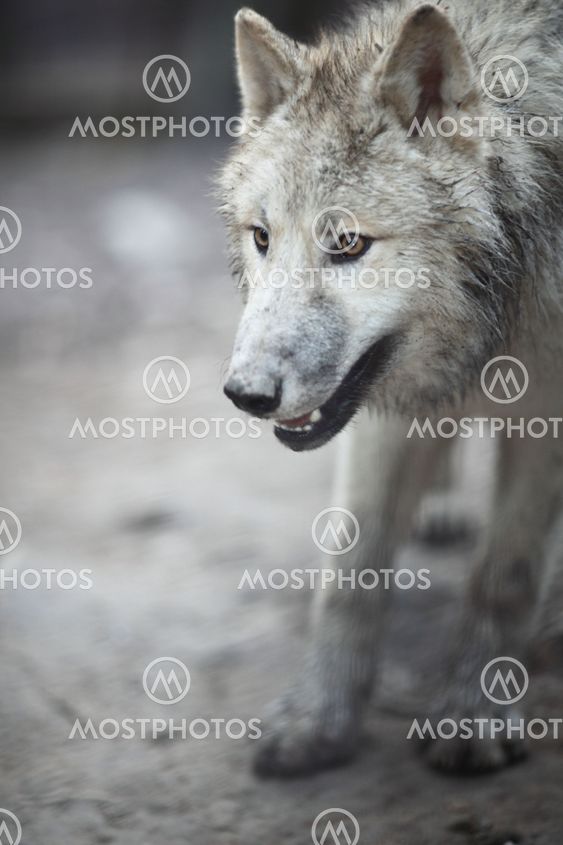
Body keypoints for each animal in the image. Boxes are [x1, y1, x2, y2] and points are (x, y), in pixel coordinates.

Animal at [219, 0, 563, 775]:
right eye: (261, 237)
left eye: (347, 243)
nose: (245, 394)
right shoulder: (377, 419)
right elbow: (349, 571)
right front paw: (319, 718)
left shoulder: (547, 416)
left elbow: (504, 573)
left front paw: (473, 710)